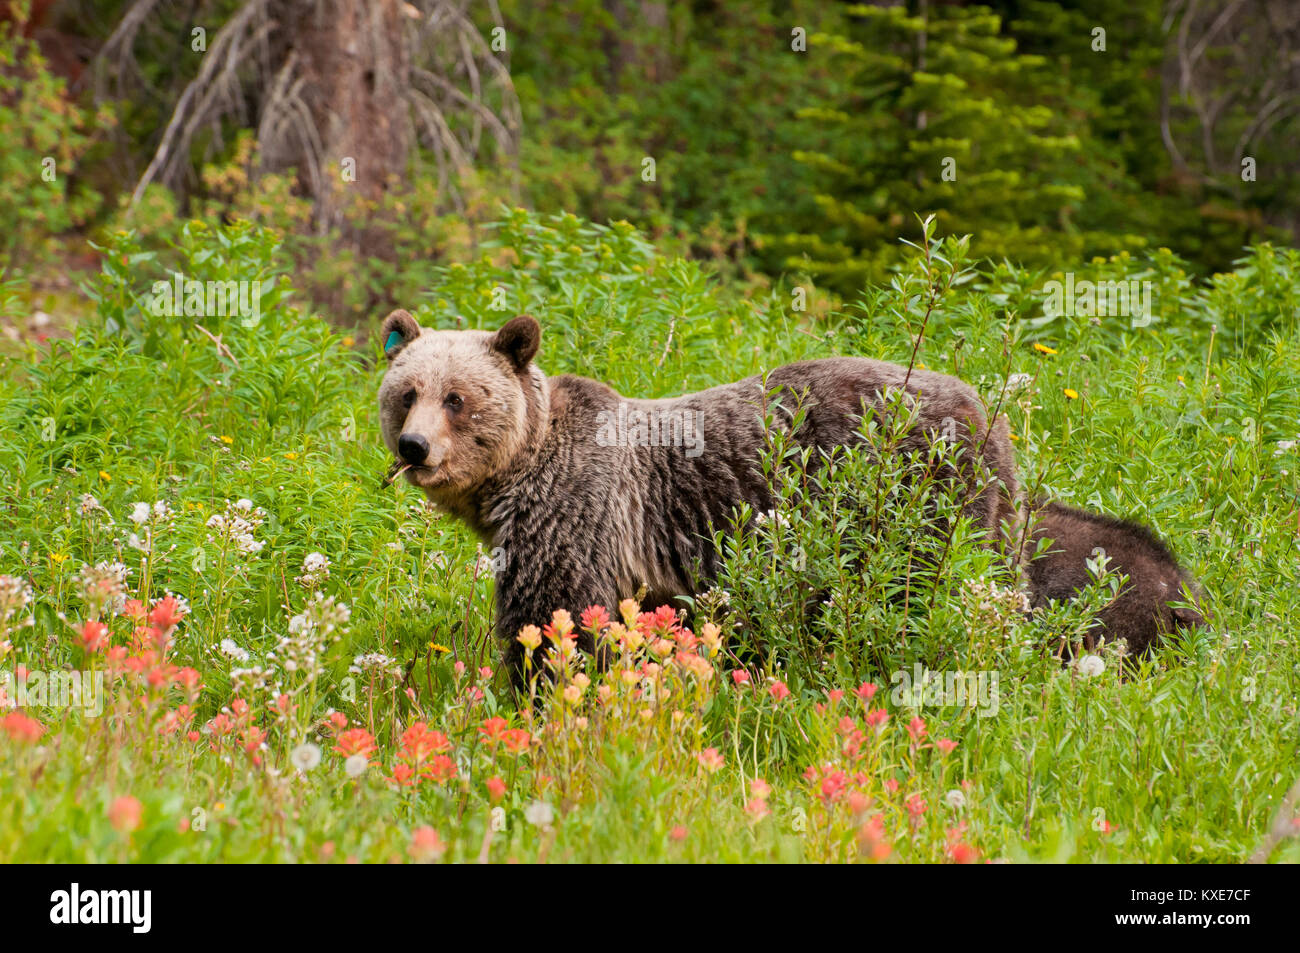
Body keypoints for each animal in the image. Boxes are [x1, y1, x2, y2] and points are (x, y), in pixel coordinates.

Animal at [377, 310, 1020, 689]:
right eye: (407, 393)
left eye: (456, 398)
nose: (414, 446)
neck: (516, 475)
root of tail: (983, 407)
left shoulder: (576, 515)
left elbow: (555, 616)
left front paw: (541, 690)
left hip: (916, 497)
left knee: (916, 589)